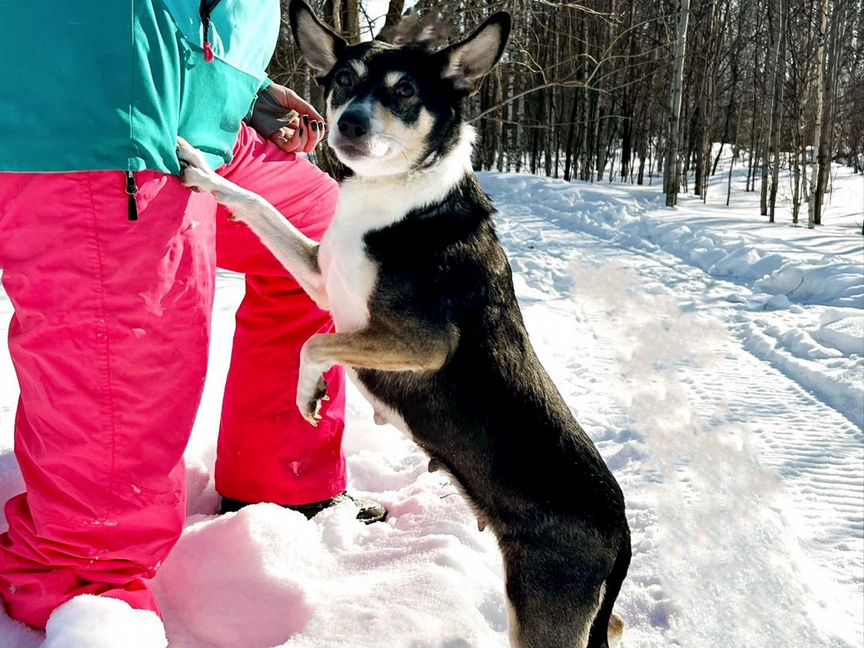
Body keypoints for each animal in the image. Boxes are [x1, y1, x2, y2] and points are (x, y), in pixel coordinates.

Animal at [179, 2, 632, 644]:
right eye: (343, 81)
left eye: (405, 91)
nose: (349, 126)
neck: (399, 195)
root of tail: (621, 532)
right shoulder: (322, 274)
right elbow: (258, 205)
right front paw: (202, 169)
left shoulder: (422, 344)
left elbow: (316, 344)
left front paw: (309, 395)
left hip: (544, 611)